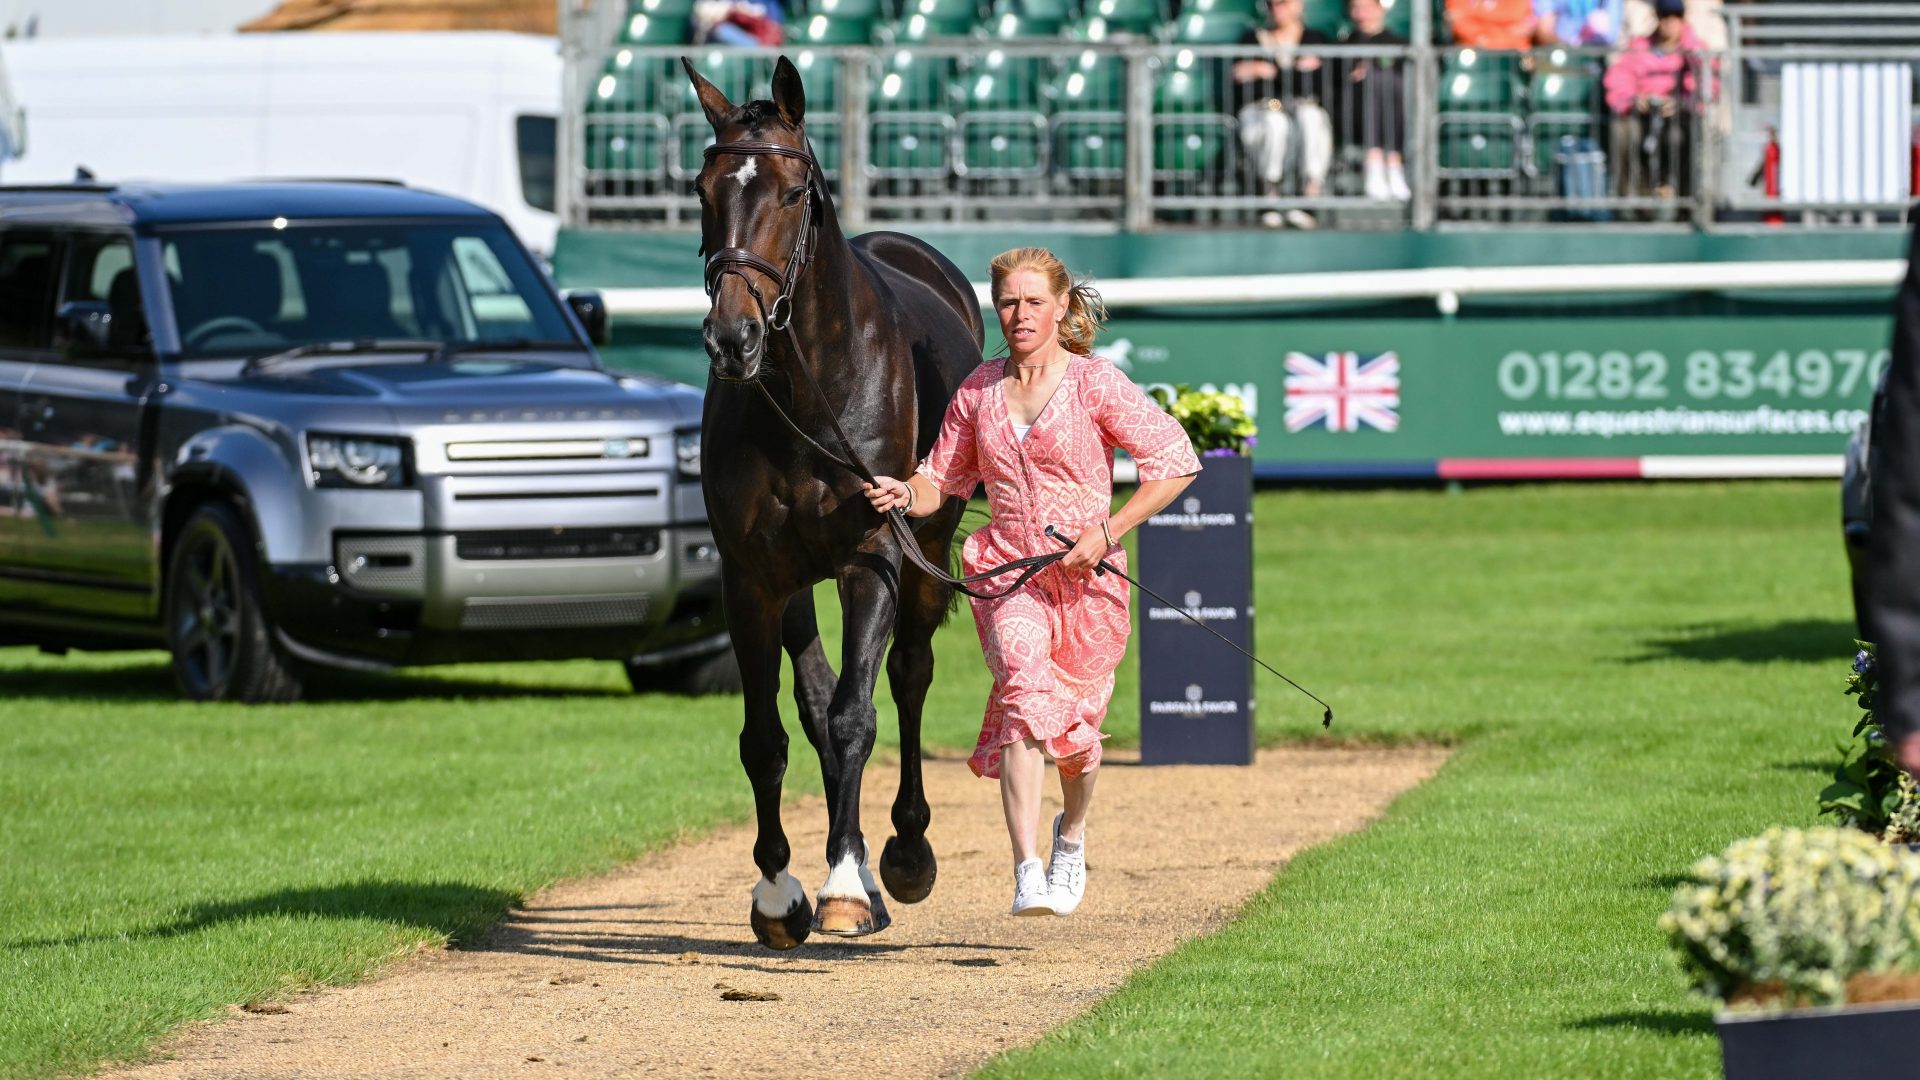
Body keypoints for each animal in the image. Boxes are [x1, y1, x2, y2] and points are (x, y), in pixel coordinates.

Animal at [683, 55, 985, 949]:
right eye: (703, 189)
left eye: (793, 193)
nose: (732, 337)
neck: (808, 387)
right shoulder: (752, 578)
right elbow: (771, 735)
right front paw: (779, 891)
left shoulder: (870, 560)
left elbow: (858, 713)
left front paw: (849, 884)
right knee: (815, 701)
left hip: (922, 557)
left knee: (909, 677)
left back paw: (902, 857)